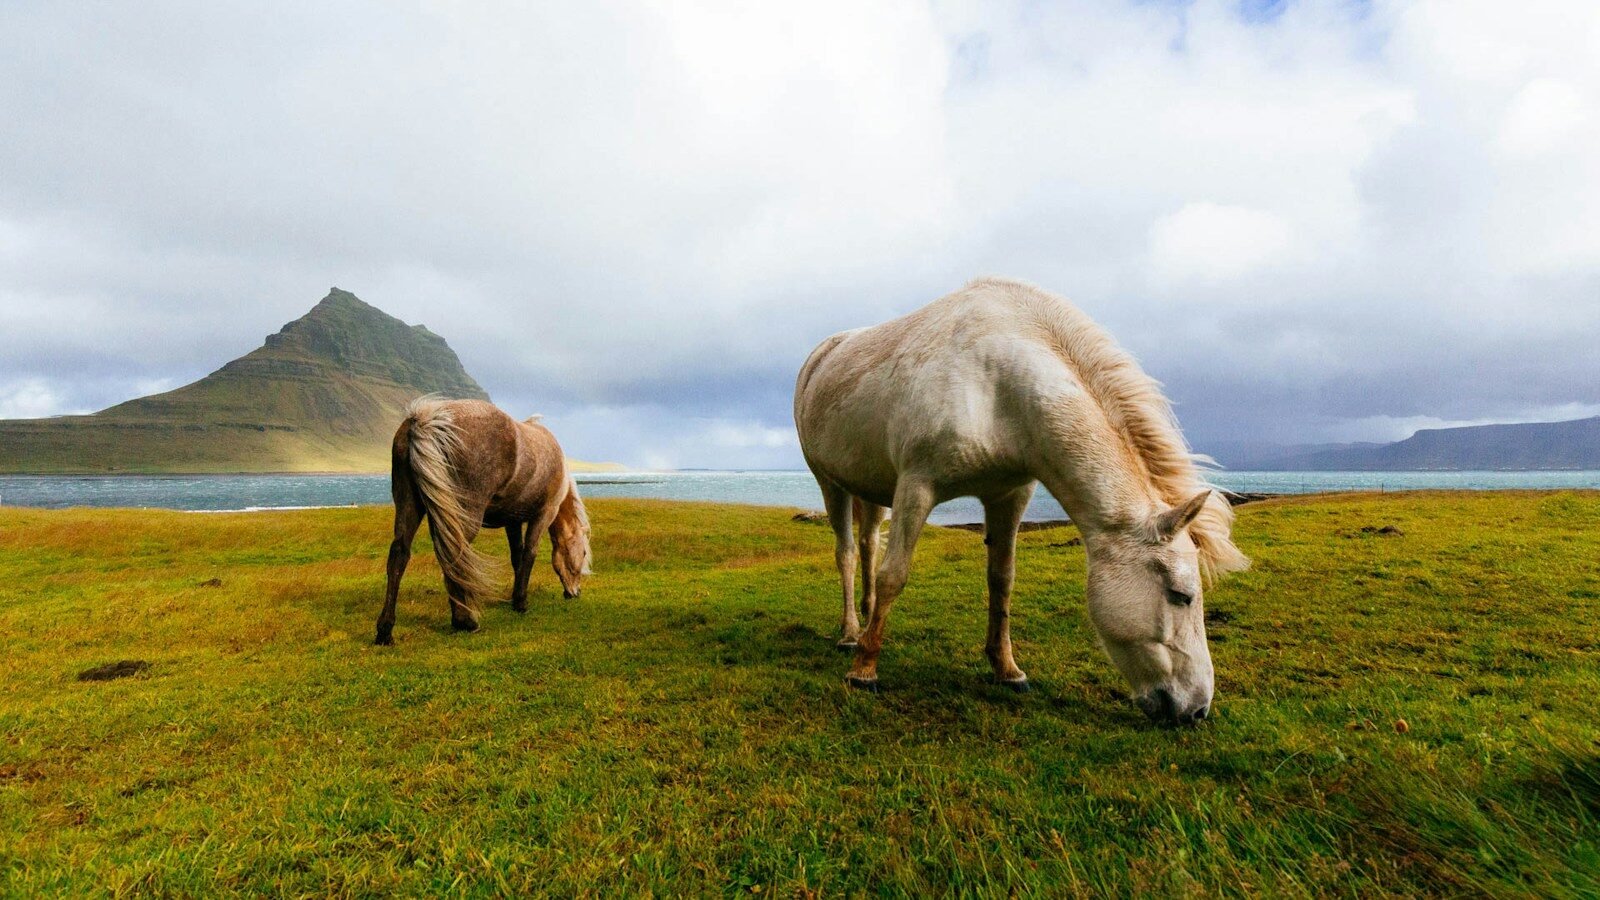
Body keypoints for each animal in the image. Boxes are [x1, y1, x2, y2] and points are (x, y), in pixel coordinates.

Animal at [374, 396, 592, 645]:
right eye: (583, 553)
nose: (575, 592)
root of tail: (427, 419)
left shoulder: (513, 521)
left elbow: (517, 557)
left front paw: (515, 599)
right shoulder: (543, 514)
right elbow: (529, 555)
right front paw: (521, 602)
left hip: (410, 505)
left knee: (399, 555)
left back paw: (385, 631)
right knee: (455, 555)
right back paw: (465, 621)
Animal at [793, 277, 1248, 725]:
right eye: (1180, 595)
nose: (1197, 709)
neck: (998, 386)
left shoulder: (1009, 495)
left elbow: (1002, 581)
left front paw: (1007, 669)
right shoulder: (916, 487)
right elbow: (895, 575)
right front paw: (864, 671)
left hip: (872, 490)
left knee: (869, 544)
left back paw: (867, 619)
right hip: (830, 483)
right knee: (848, 554)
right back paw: (851, 634)